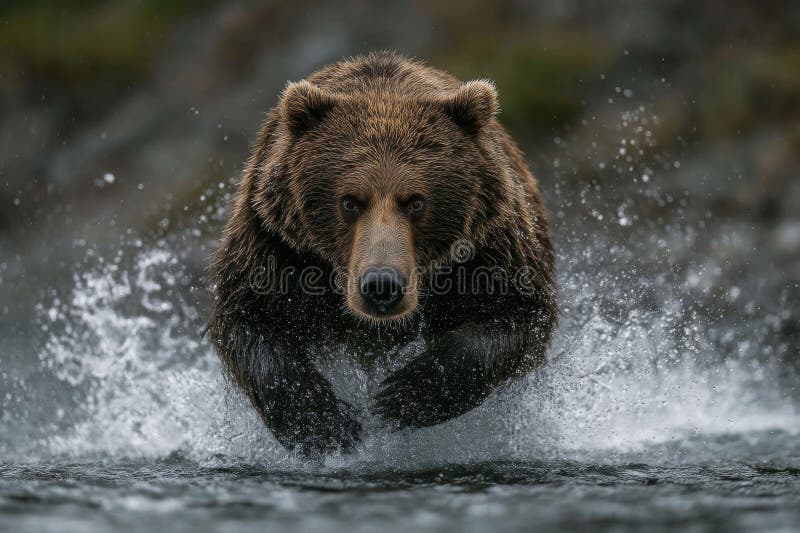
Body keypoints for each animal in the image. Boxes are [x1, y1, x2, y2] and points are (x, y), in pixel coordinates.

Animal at [207, 52, 557, 456]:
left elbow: (514, 314)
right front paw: (324, 423)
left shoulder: (489, 245)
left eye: (417, 201)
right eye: (349, 201)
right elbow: (252, 320)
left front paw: (403, 396)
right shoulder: (276, 242)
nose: (381, 285)